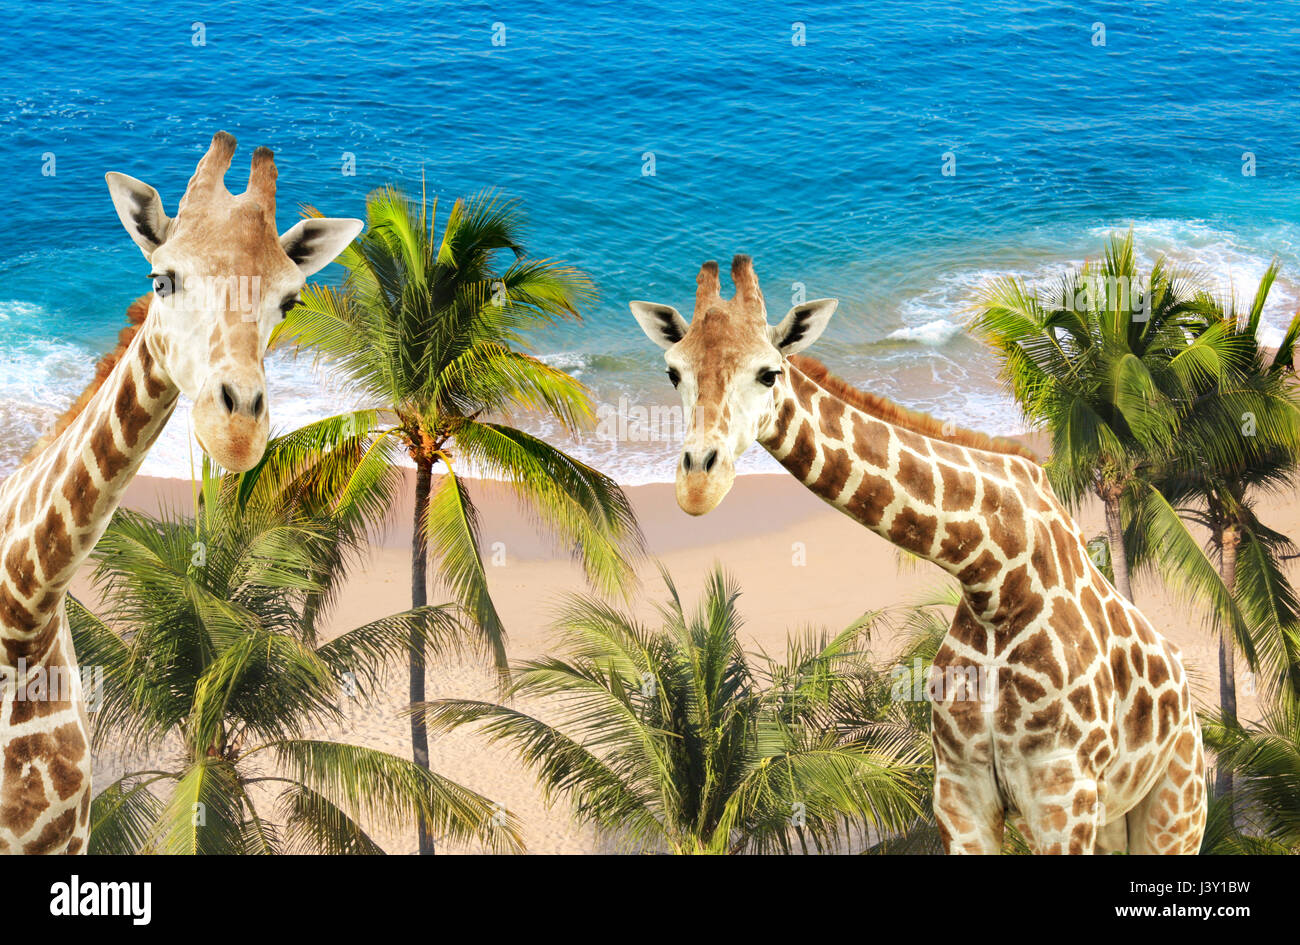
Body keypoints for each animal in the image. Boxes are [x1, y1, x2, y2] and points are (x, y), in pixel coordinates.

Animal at [630, 255, 1207, 854]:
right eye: (673, 372)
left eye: (769, 373)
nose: (698, 486)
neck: (996, 580)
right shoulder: (958, 788)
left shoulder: (1063, 793)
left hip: (1174, 807)